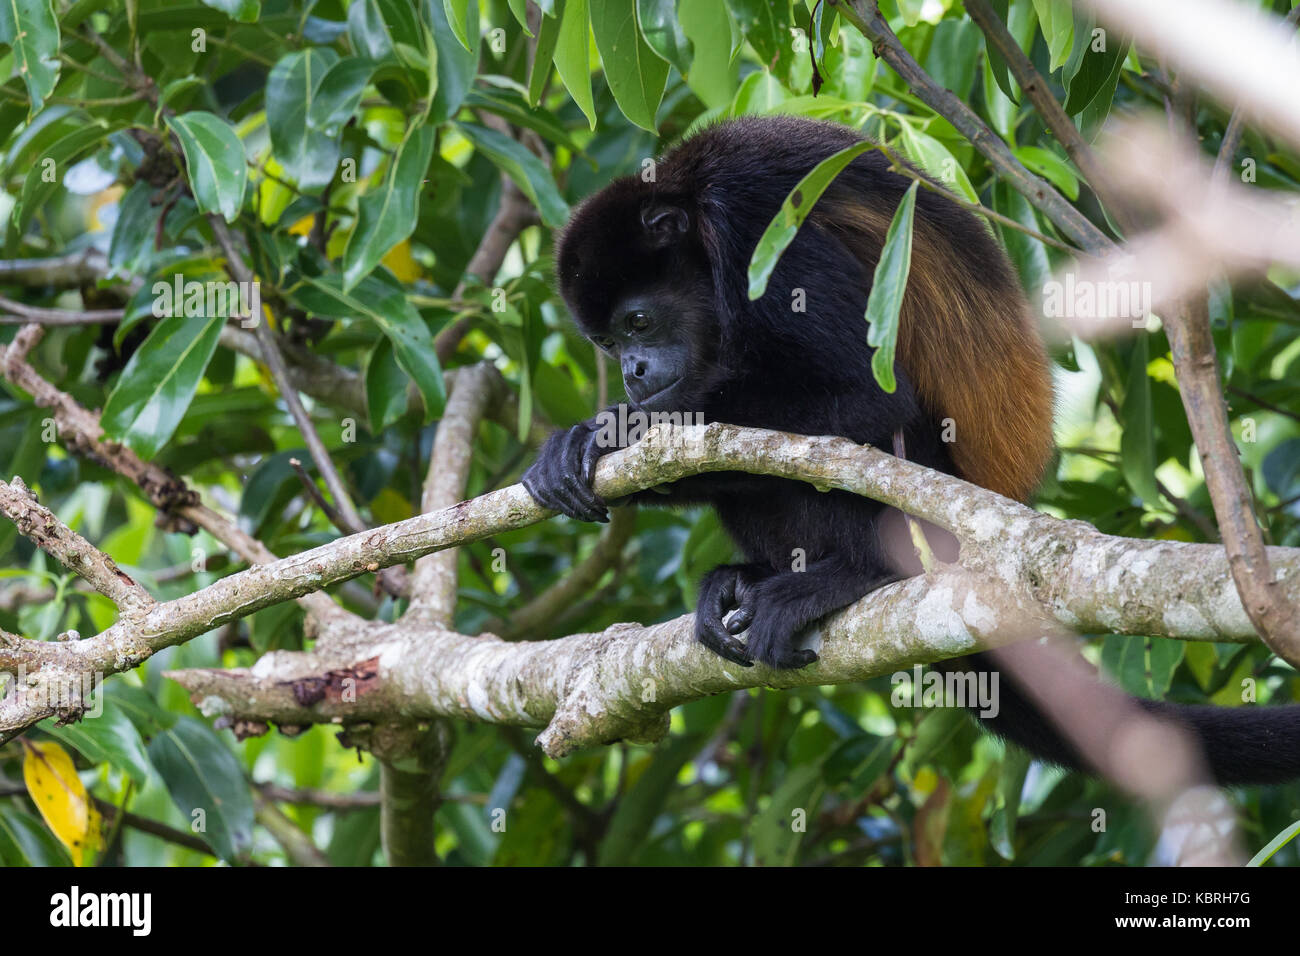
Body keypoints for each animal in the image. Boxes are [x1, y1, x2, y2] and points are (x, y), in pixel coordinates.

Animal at [522, 114, 1300, 786]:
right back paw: (745, 578)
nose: (632, 373)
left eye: (637, 321)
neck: (694, 213)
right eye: (605, 342)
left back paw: (853, 574)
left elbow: (869, 397)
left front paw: (622, 427)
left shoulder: (758, 231)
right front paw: (583, 445)